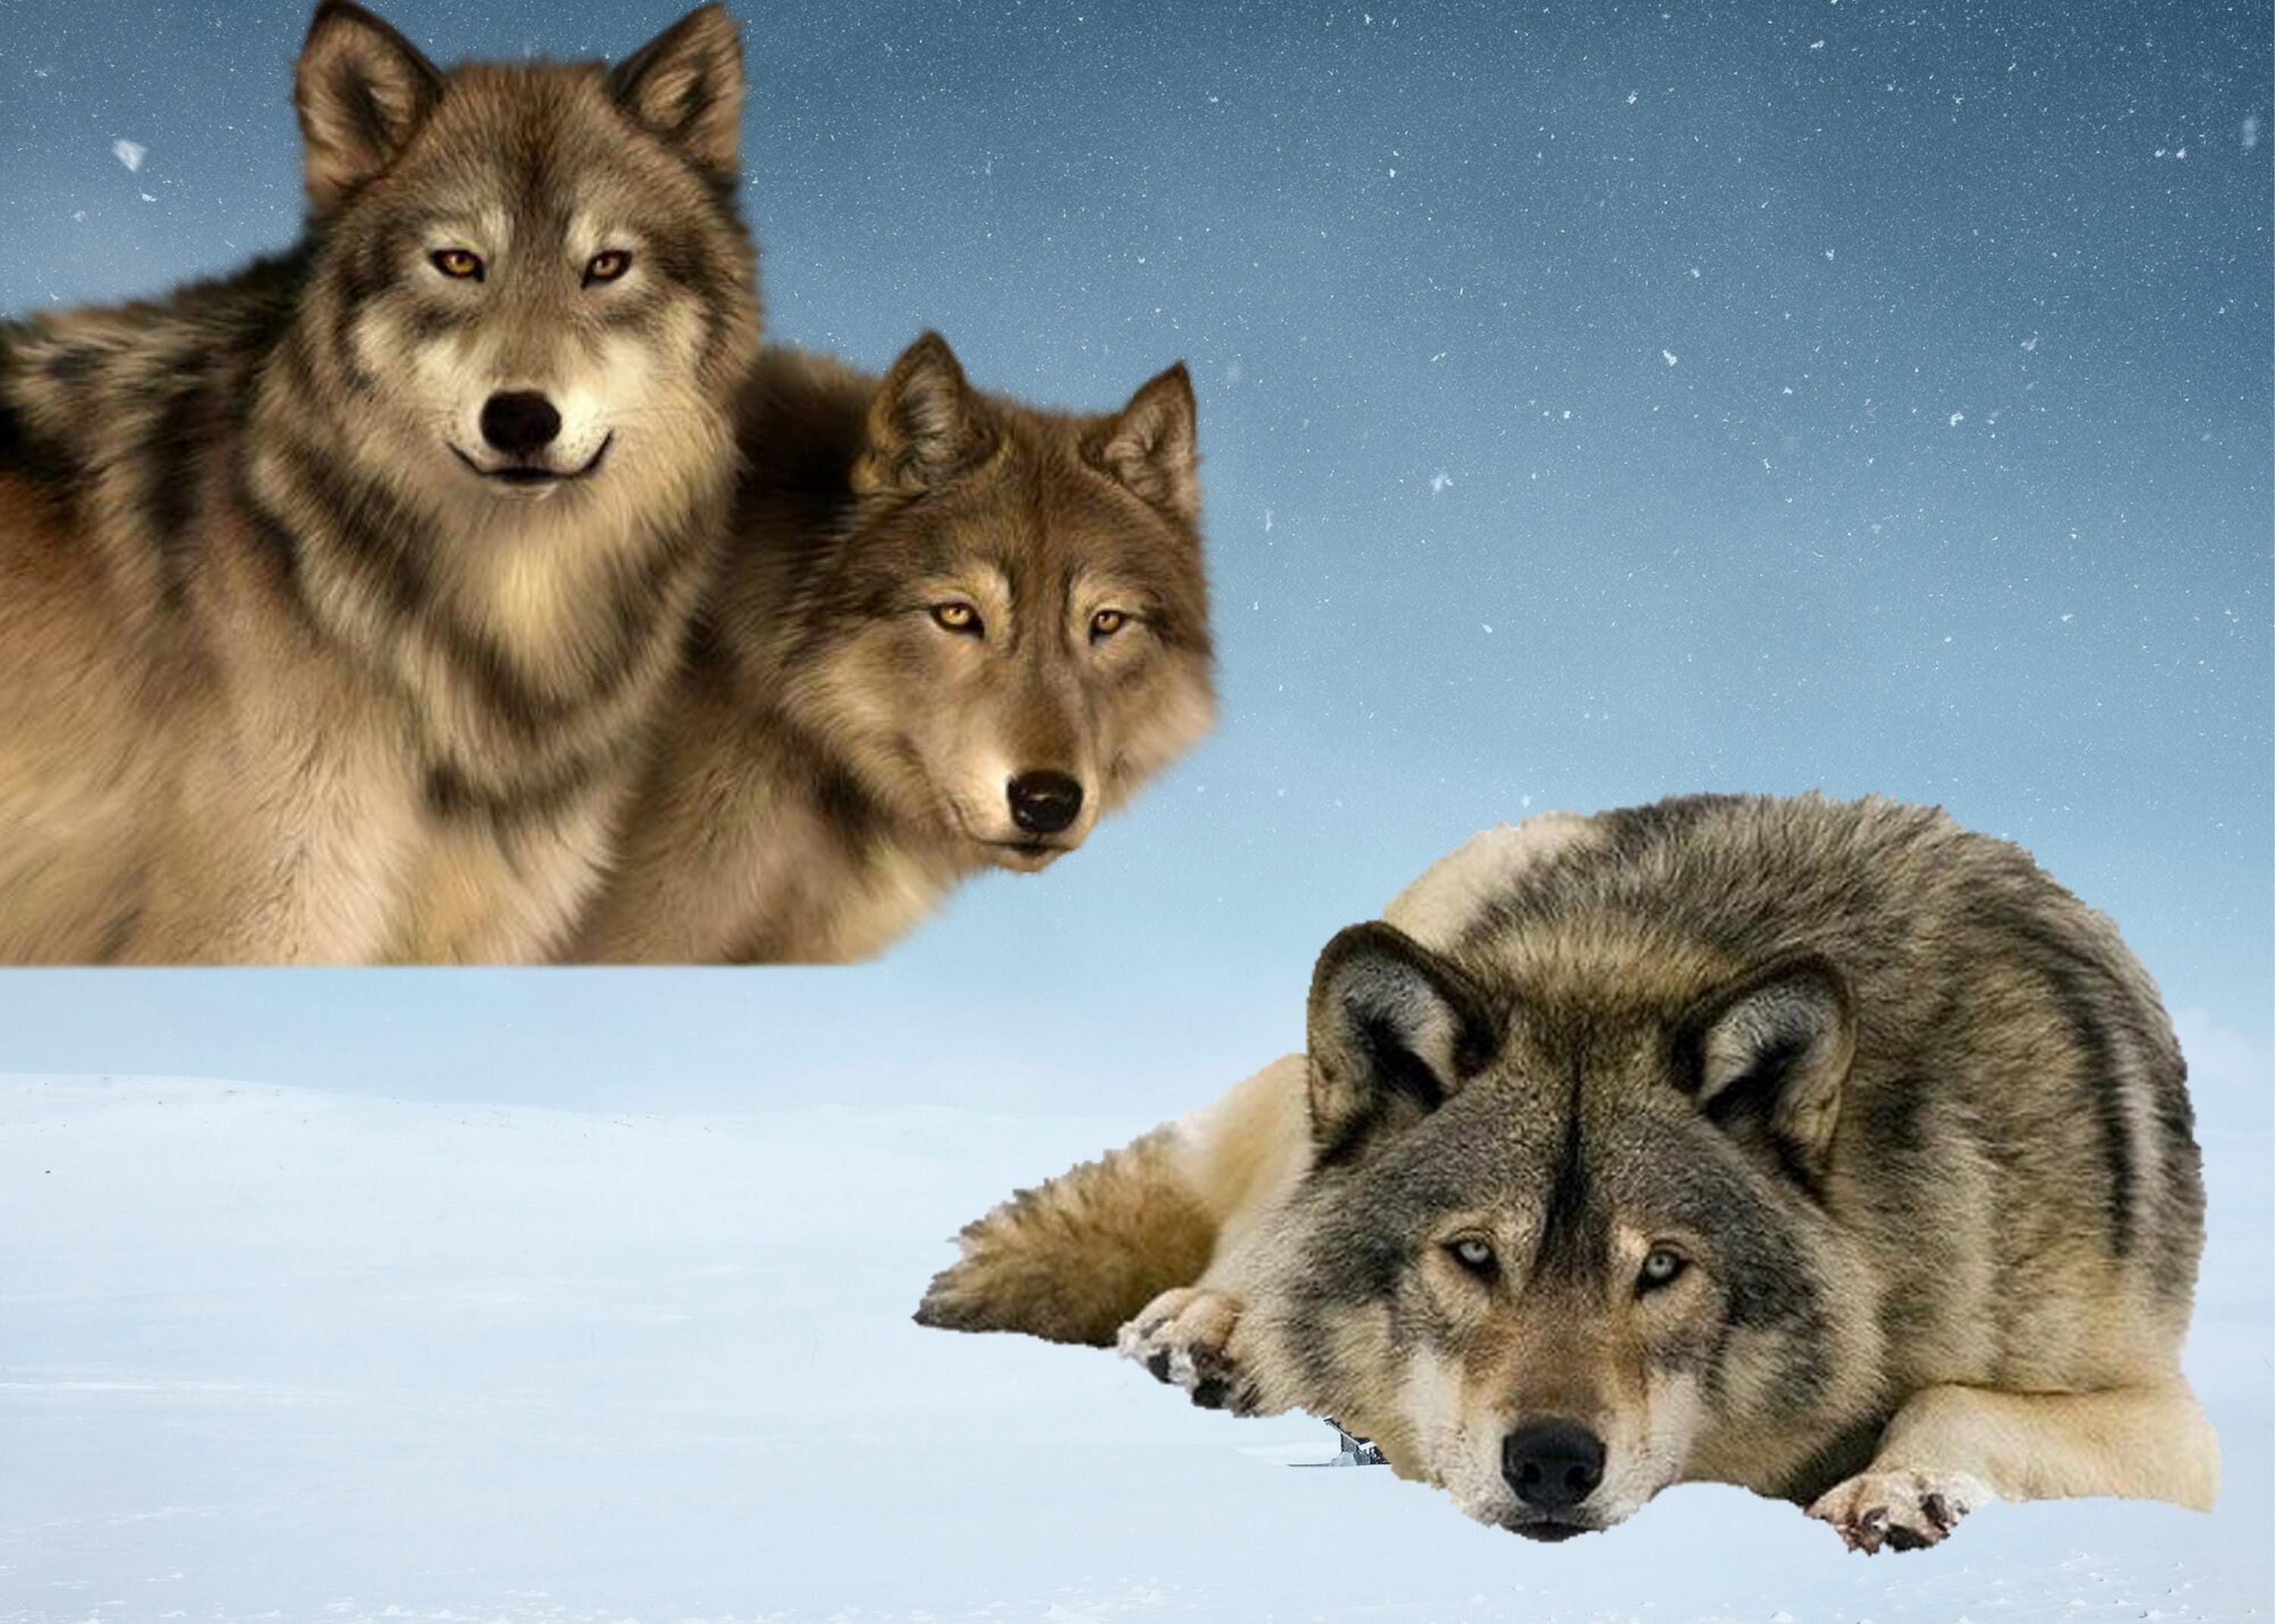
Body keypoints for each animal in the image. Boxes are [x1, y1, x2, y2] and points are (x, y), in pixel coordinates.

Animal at [917, 795, 2218, 1551]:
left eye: (1664, 1267)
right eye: (1473, 1254)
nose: (1550, 1461)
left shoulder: (2174, 1429)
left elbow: (1948, 1399)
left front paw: (1898, 1489)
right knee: (1262, 1232)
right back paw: (1208, 1330)